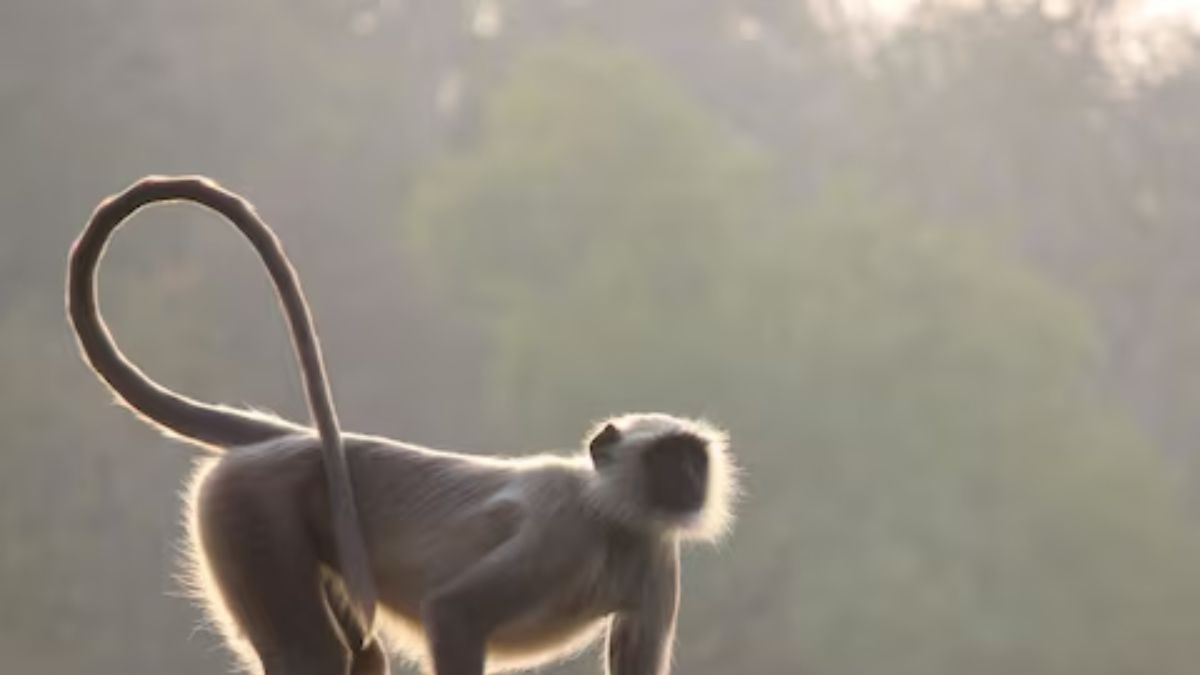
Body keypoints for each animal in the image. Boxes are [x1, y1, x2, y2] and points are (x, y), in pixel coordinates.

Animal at [67, 175, 738, 675]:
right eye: (668, 460)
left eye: (692, 459)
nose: (689, 481)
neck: (611, 518)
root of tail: (290, 442)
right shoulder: (561, 533)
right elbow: (456, 612)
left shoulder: (655, 556)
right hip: (250, 508)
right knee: (312, 655)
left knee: (360, 657)